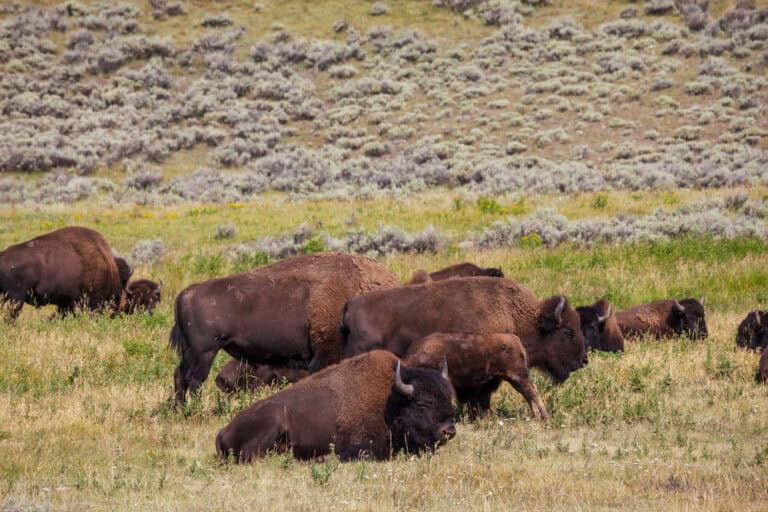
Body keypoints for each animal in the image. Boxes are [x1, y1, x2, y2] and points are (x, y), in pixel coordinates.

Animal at [215, 350, 456, 462]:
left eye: (449, 398)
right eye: (423, 403)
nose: (449, 431)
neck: (392, 401)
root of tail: (222, 431)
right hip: (274, 419)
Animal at [404, 332, 548, 421]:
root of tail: (516, 341)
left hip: (517, 376)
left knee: (532, 392)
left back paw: (545, 417)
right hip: (515, 379)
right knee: (529, 392)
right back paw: (537, 417)